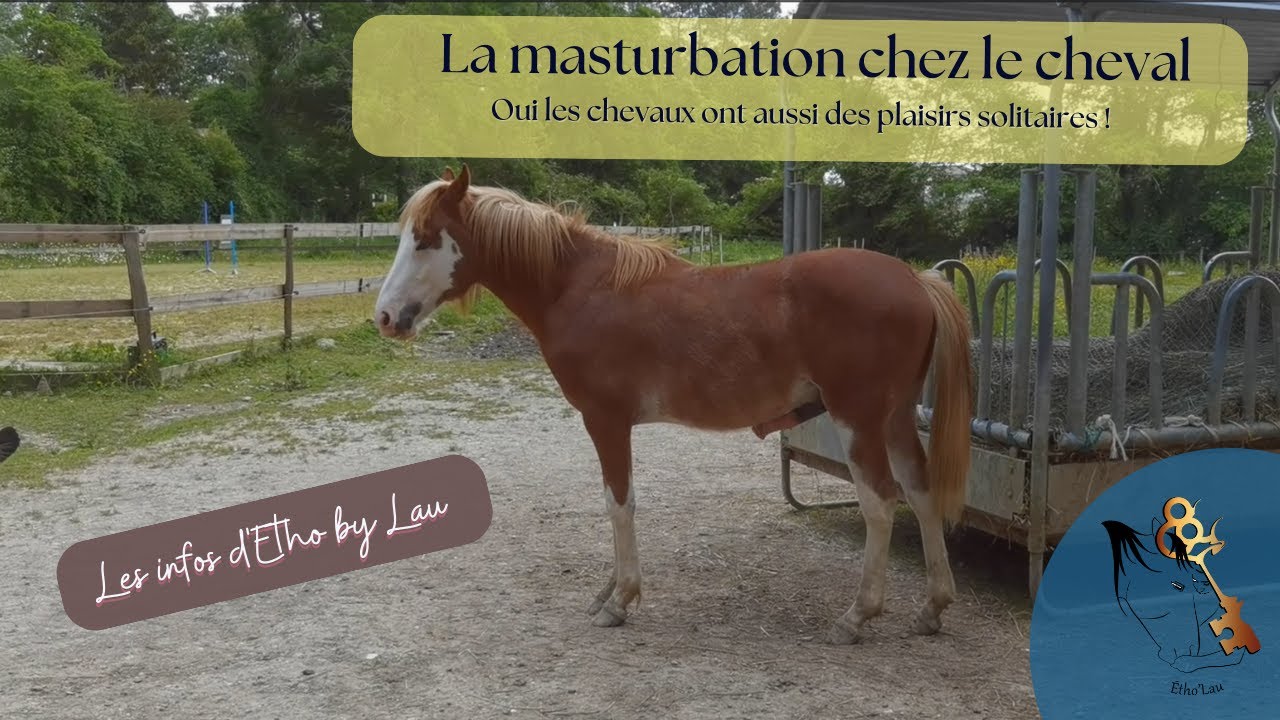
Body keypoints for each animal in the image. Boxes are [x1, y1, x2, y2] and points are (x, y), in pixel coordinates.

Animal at [373, 165, 974, 644]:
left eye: (424, 238)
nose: (385, 317)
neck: (578, 288)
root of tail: (913, 279)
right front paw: (607, 591)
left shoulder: (607, 422)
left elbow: (619, 504)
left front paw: (620, 600)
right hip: (894, 420)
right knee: (921, 494)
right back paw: (932, 608)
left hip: (858, 419)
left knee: (880, 503)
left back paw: (857, 616)